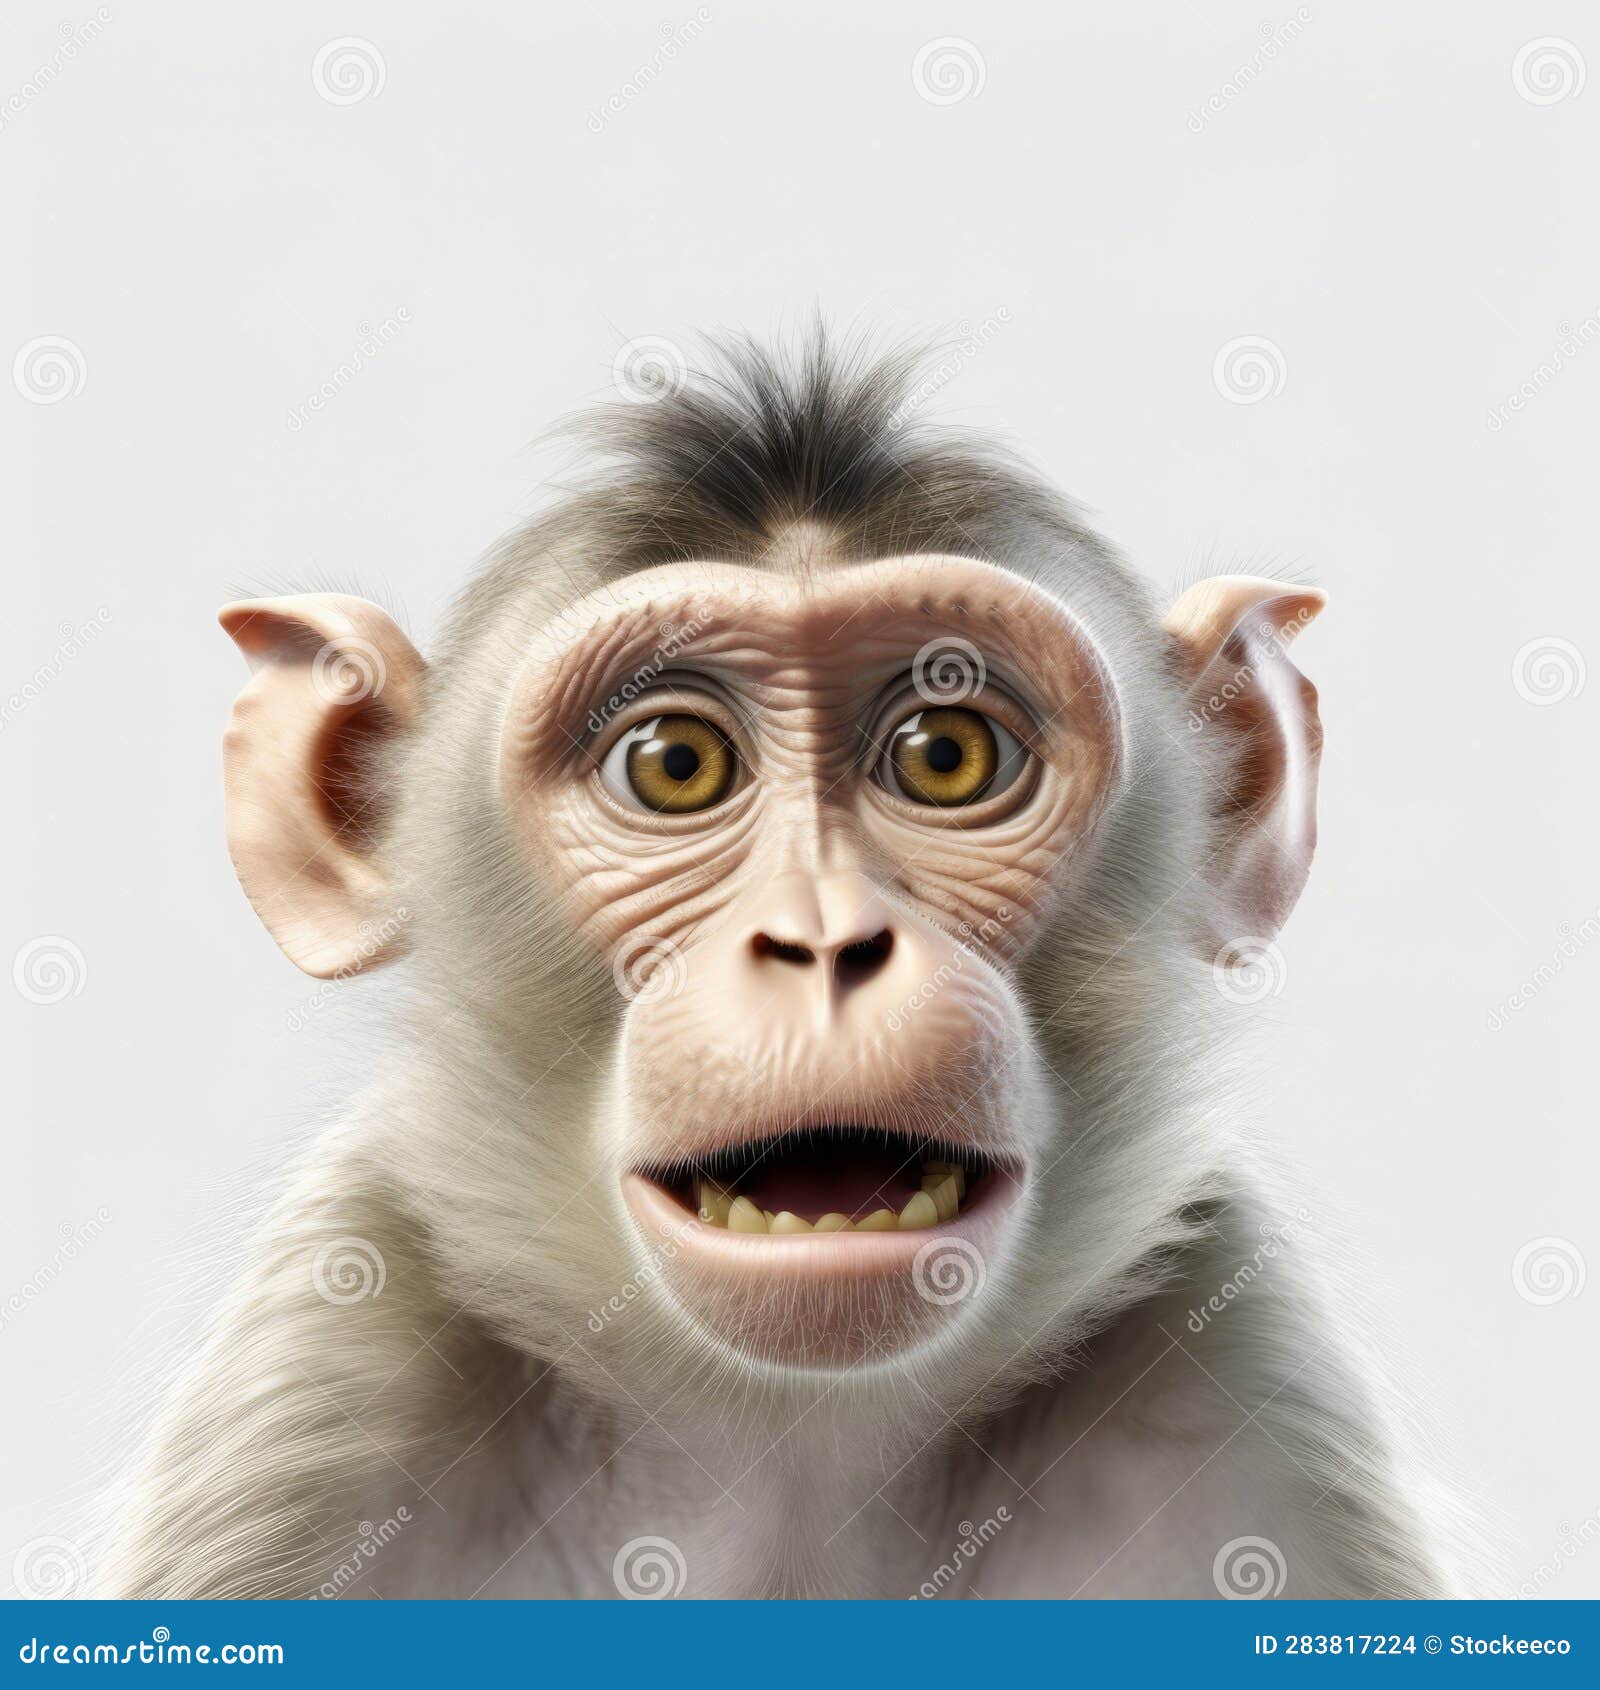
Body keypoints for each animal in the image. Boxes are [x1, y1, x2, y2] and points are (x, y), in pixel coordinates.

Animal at [97, 331, 1471, 1600]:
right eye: (673, 764)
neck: (789, 1450)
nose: (822, 942)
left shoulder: (1249, 1387)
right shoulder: (313, 1396)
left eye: (946, 752)